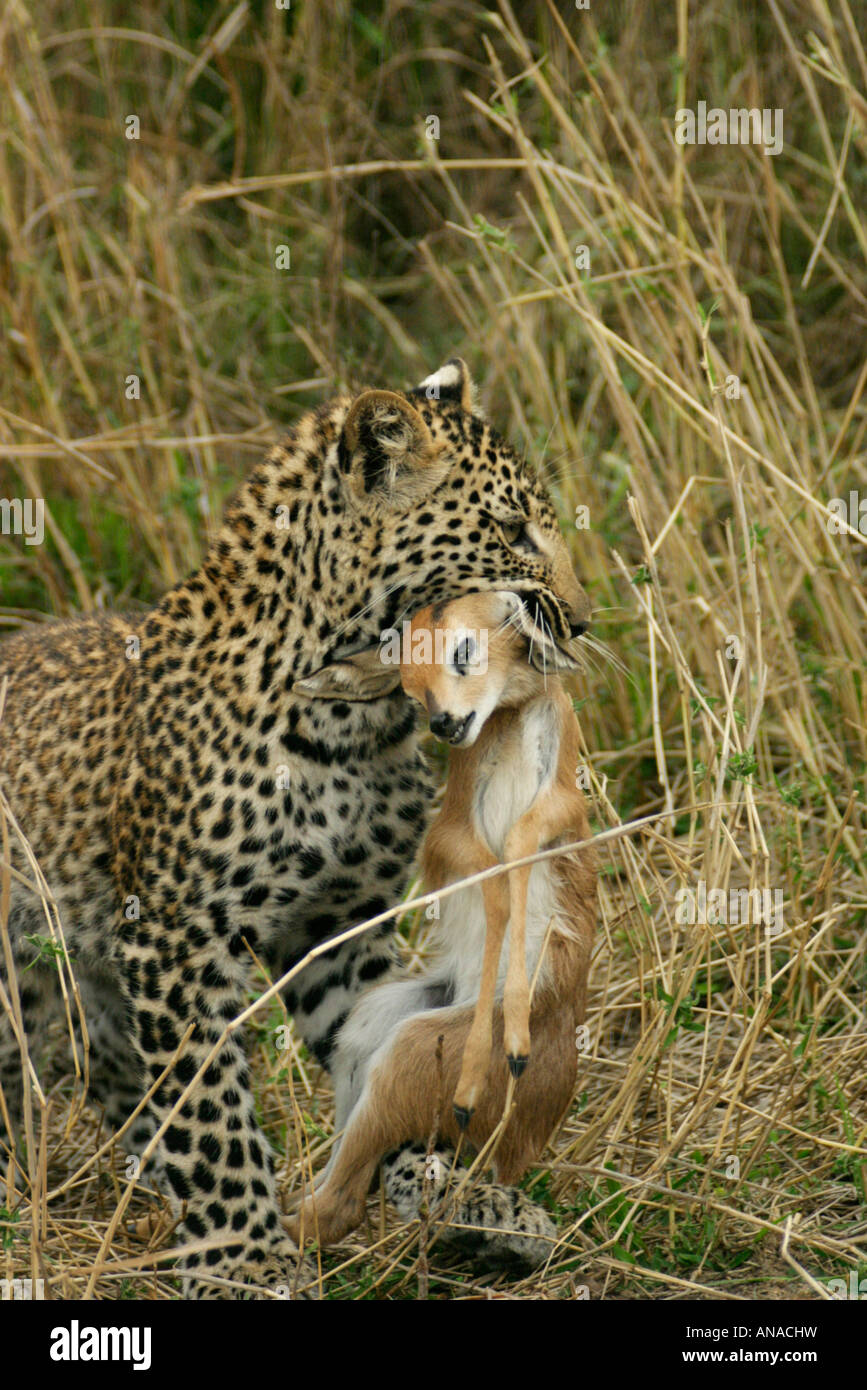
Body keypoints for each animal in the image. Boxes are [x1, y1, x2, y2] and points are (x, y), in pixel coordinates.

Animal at [0, 359, 590, 1297]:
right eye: (510, 530)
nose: (583, 620)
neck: (350, 721)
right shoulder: (174, 934)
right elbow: (209, 1110)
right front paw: (243, 1257)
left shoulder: (334, 924)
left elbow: (380, 1054)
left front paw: (456, 1198)